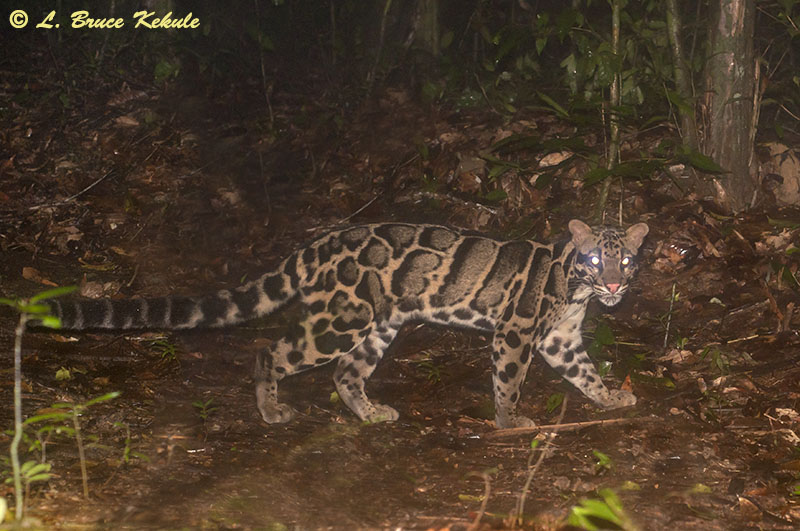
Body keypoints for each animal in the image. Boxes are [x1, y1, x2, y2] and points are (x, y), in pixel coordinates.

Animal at [44, 219, 649, 428]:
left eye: (625, 261)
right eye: (597, 259)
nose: (614, 286)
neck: (574, 287)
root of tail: (315, 245)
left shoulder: (561, 339)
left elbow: (586, 372)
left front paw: (609, 398)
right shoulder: (516, 332)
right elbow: (509, 380)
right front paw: (509, 420)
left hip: (376, 324)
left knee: (345, 374)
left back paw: (369, 412)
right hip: (343, 319)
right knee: (270, 350)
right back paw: (270, 410)